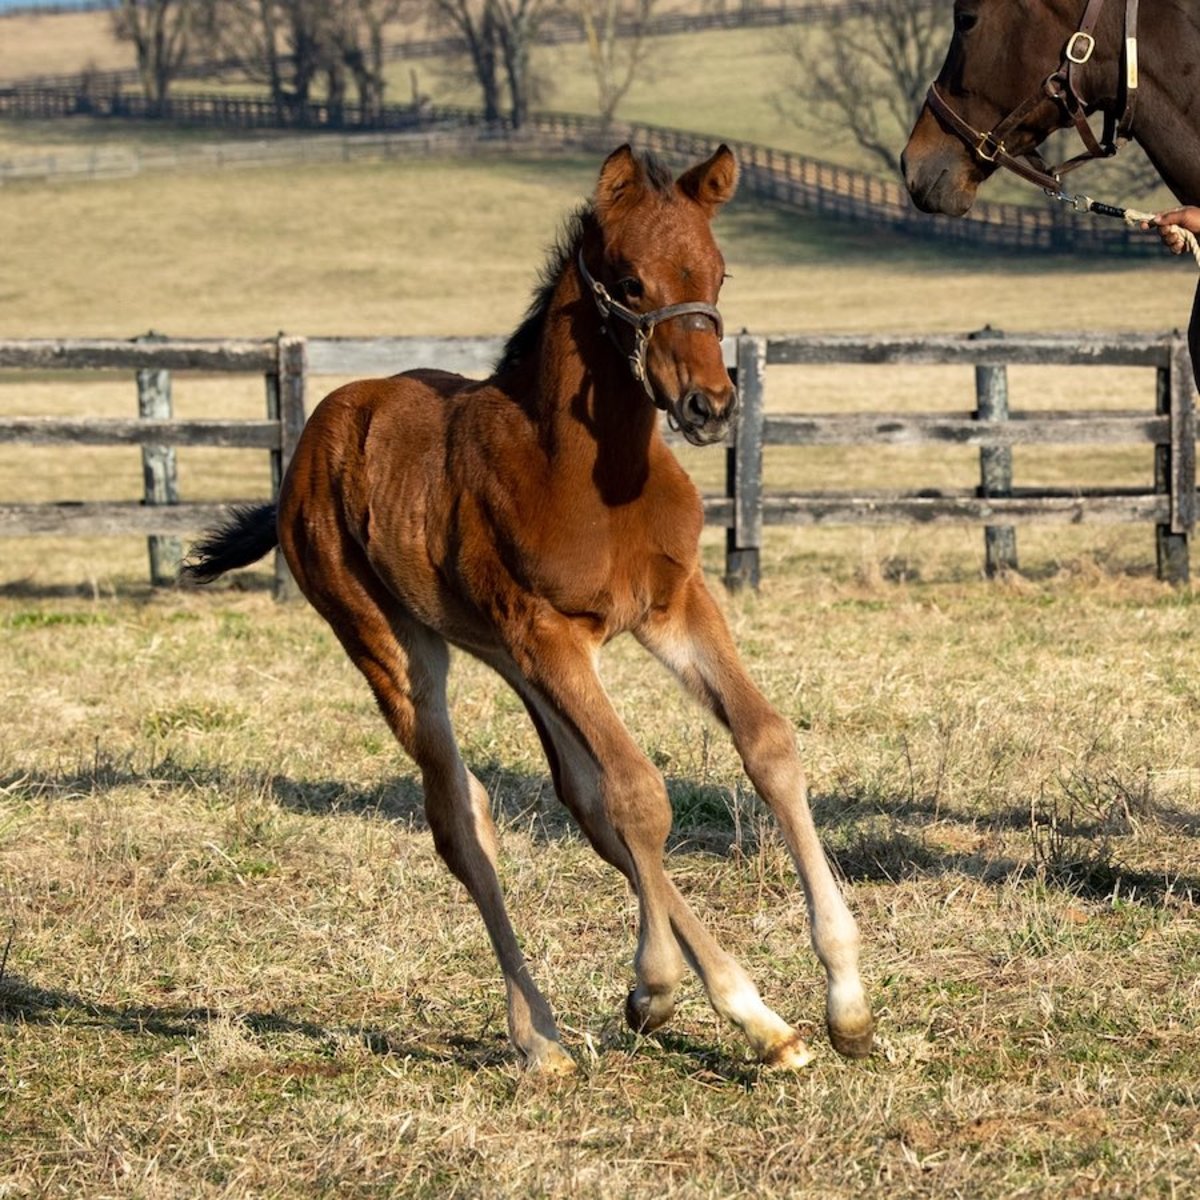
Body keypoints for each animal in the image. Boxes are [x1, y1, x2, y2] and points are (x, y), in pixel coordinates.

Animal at [183, 145, 875, 1073]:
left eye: (718, 273)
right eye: (630, 280)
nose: (711, 405)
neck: (585, 471)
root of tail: (317, 433)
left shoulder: (673, 605)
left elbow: (763, 745)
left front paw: (842, 1000)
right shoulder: (549, 633)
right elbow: (640, 793)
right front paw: (708, 998)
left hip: (508, 657)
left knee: (580, 800)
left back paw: (702, 1007)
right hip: (395, 647)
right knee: (463, 821)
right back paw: (544, 1036)